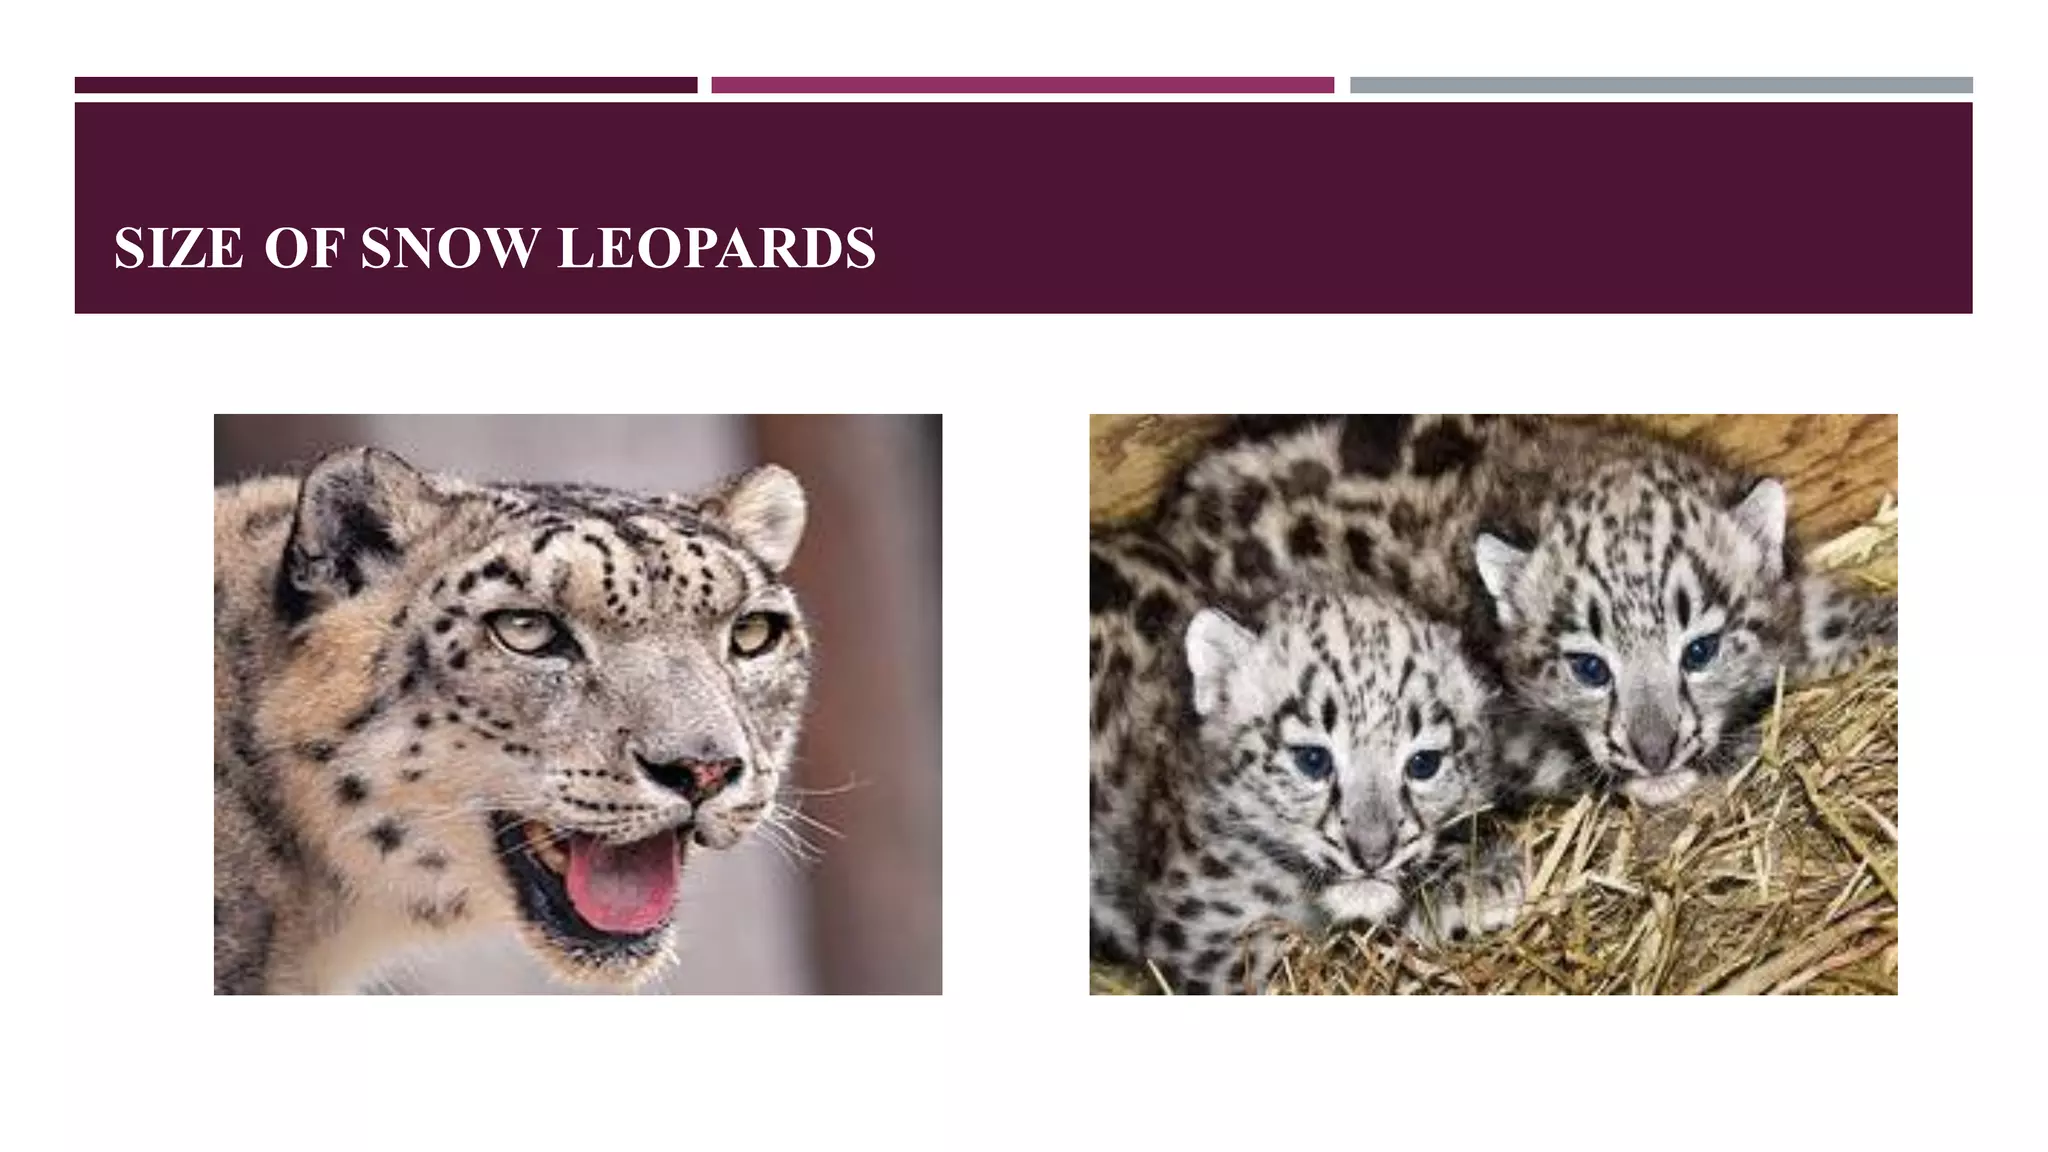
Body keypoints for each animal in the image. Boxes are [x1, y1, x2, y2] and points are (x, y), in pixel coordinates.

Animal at [1091, 529, 1520, 994]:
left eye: (1423, 764)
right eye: (1313, 760)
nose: (1373, 855)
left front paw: (1474, 879)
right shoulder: (1209, 936)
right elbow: (1321, 966)